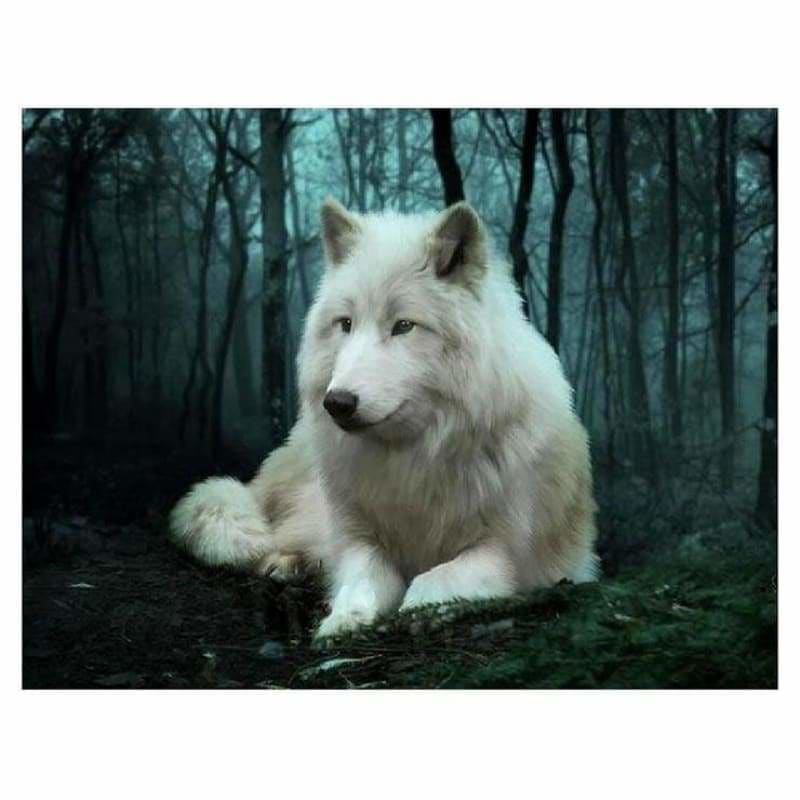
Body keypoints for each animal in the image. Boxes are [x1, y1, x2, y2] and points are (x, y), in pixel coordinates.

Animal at [169, 198, 599, 639]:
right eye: (346, 324)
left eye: (404, 326)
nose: (337, 402)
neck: (415, 459)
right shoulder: (358, 539)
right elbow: (361, 578)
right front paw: (343, 619)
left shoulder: (509, 553)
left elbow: (437, 577)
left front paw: (420, 608)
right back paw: (286, 563)